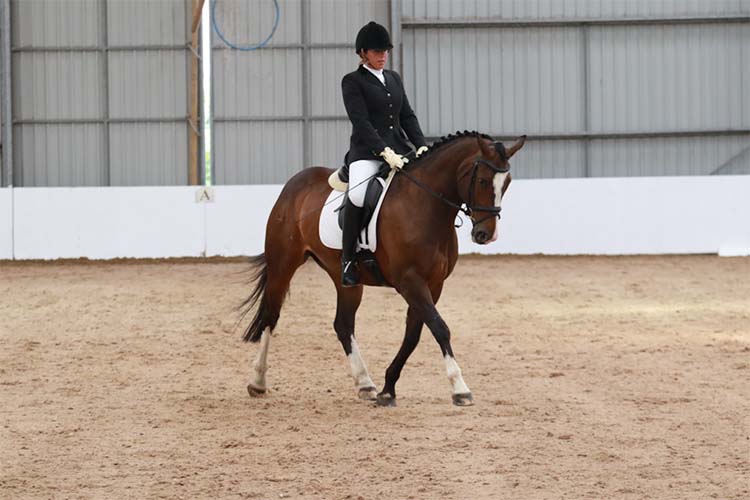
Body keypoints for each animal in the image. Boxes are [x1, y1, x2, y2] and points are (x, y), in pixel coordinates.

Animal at [240, 131, 526, 406]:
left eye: (507, 183)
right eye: (482, 181)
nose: (485, 235)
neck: (425, 205)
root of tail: (294, 184)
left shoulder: (433, 284)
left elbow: (413, 335)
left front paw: (388, 389)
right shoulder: (410, 281)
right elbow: (439, 327)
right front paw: (460, 388)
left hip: (346, 280)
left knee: (343, 324)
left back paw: (365, 384)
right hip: (283, 265)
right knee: (270, 317)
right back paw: (258, 382)